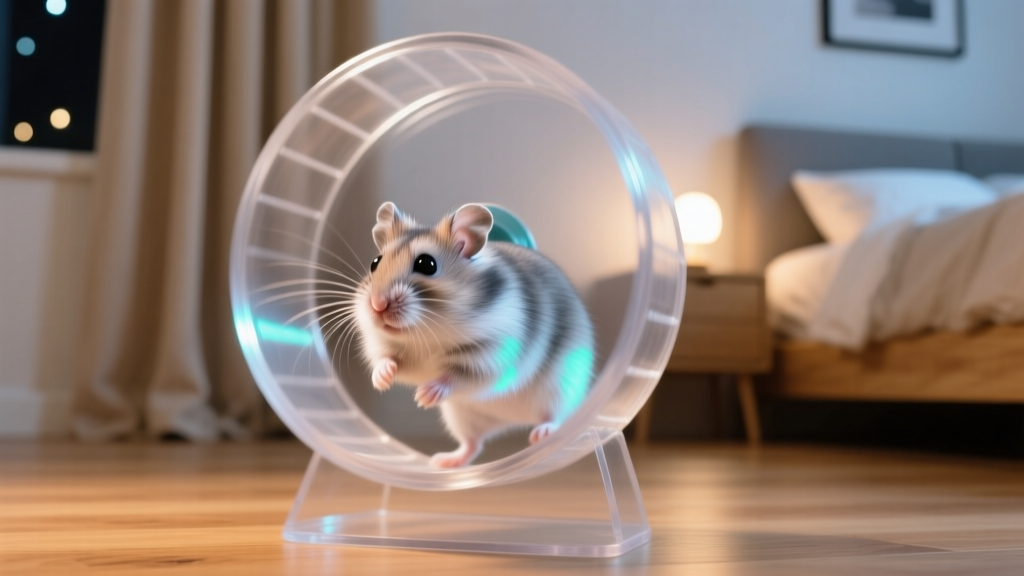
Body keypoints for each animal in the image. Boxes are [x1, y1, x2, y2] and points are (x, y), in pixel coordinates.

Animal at [354, 202, 595, 468]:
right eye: (375, 262)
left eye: (426, 264)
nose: (377, 305)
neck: (429, 331)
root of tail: (513, 422)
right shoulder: (386, 348)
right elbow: (387, 360)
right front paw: (381, 381)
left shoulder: (491, 353)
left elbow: (457, 376)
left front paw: (424, 397)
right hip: (462, 417)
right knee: (473, 444)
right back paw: (442, 462)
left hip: (562, 388)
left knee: (558, 418)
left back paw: (541, 436)